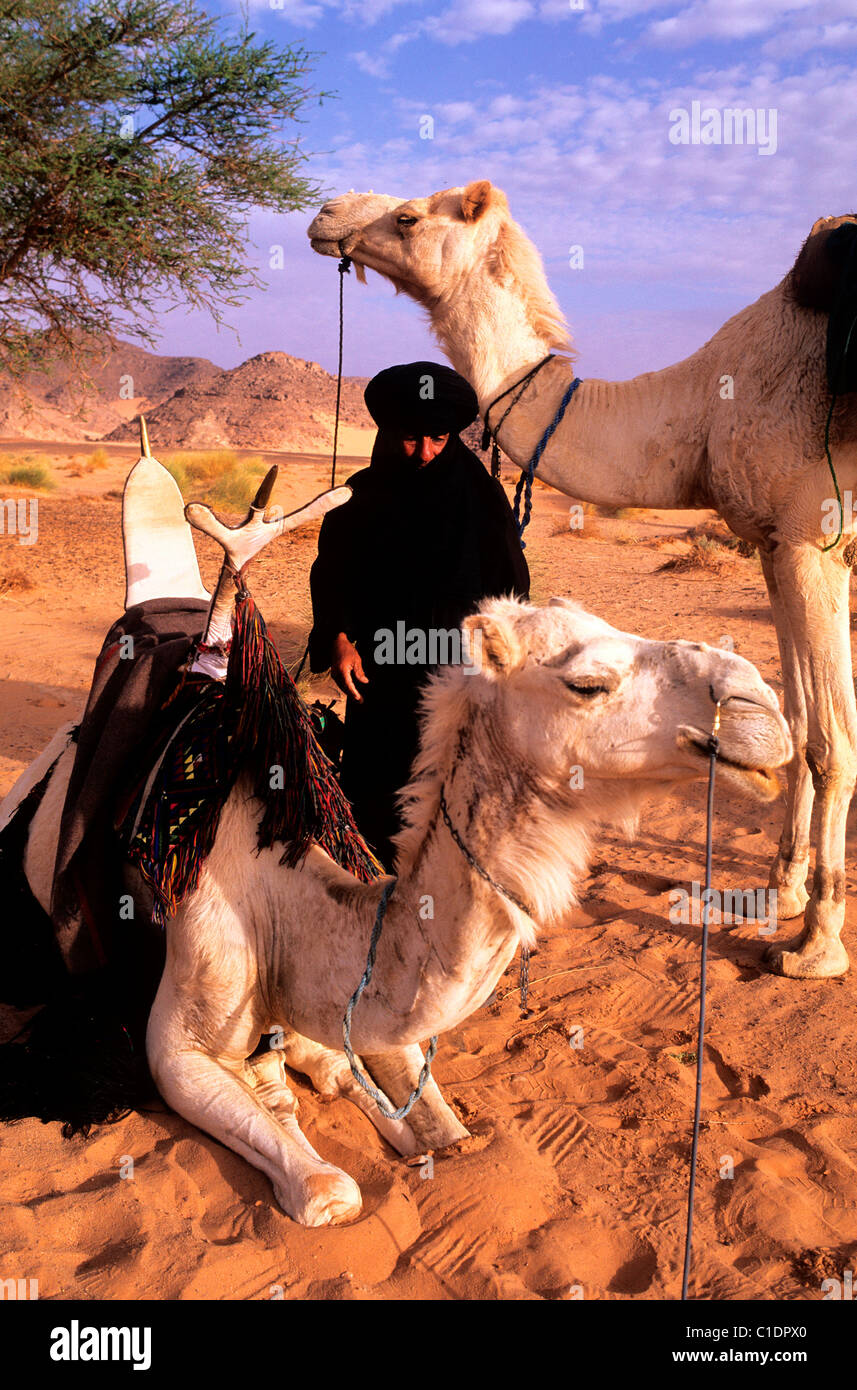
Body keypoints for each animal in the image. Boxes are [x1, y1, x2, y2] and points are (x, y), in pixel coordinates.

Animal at [5, 437, 792, 1223]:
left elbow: (443, 1127)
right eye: (588, 683)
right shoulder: (180, 1045)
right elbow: (331, 1189)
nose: (761, 708)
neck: (289, 893)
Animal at [307, 182, 857, 981]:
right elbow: (799, 717)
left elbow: (828, 742)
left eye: (407, 217)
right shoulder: (778, 544)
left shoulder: (813, 539)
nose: (324, 215)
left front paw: (814, 946)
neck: (700, 409)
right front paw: (780, 894)